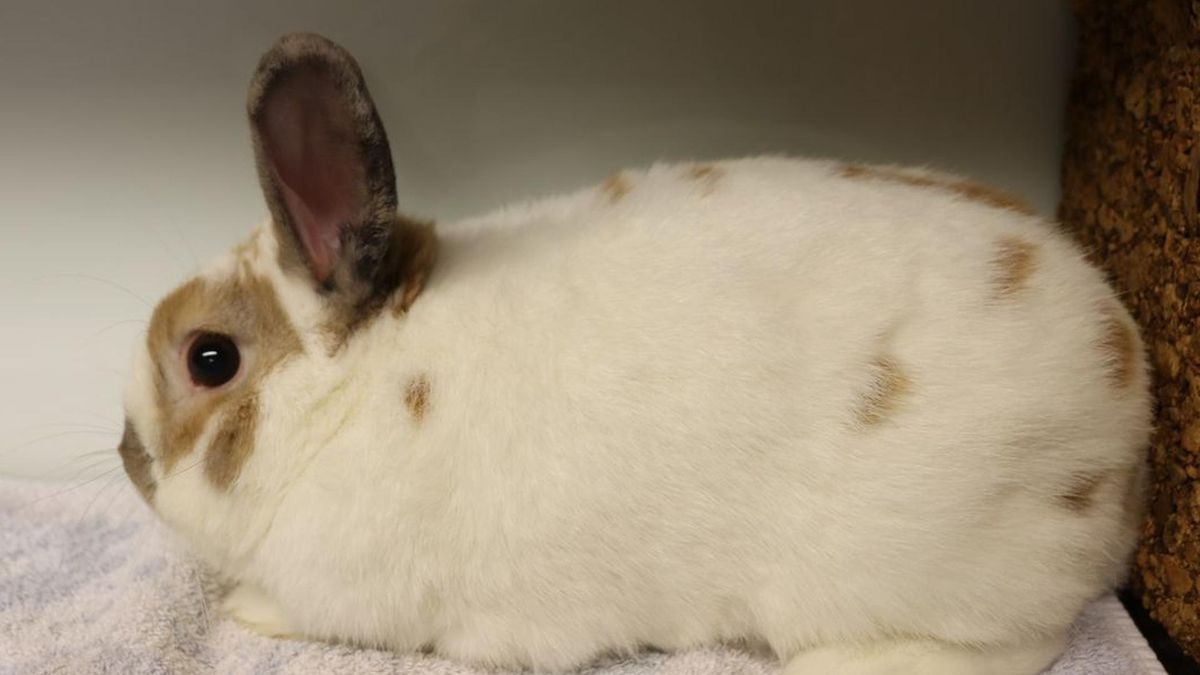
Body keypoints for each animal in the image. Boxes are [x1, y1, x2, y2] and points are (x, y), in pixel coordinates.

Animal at [119, 32, 1152, 672]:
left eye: (209, 359)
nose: (130, 459)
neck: (355, 391)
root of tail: (1130, 385)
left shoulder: (360, 594)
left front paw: (242, 607)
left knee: (1024, 644)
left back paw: (840, 660)